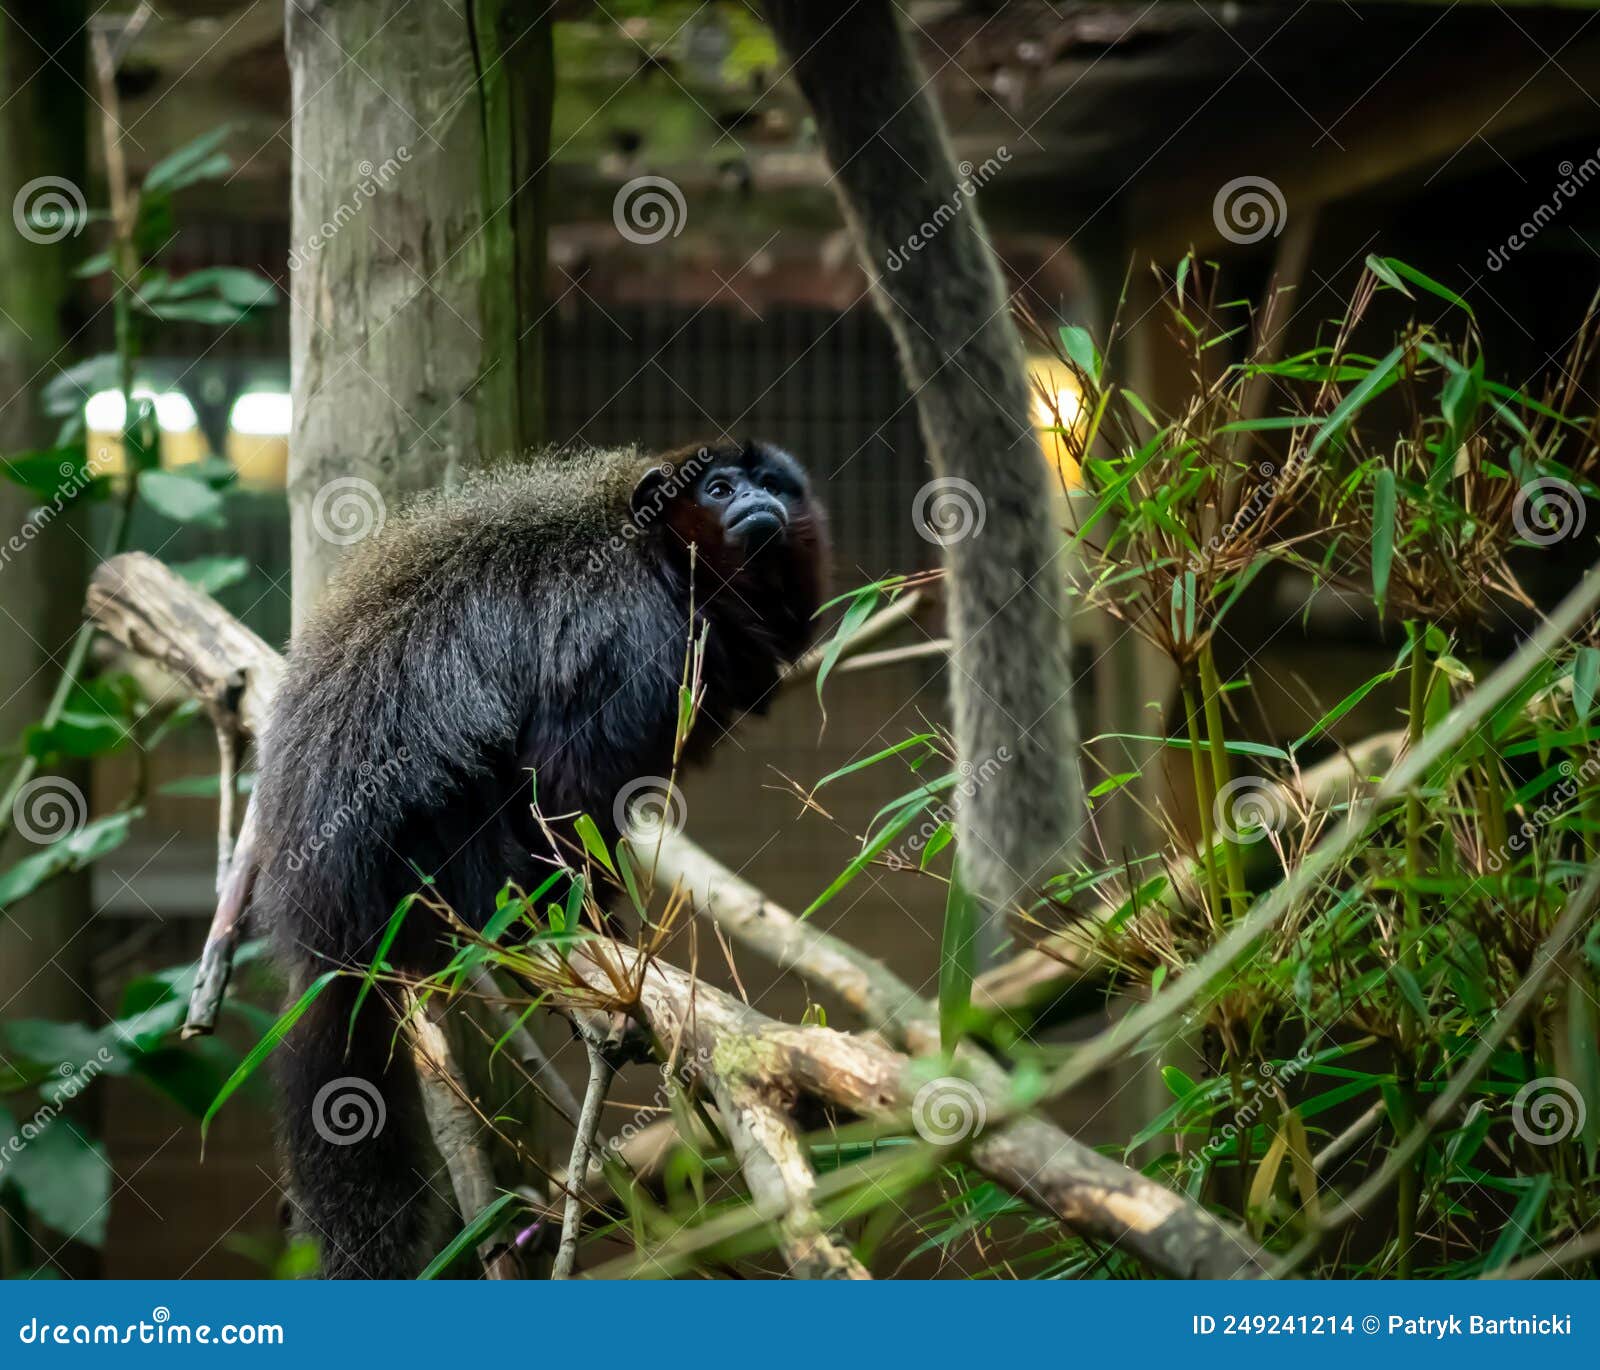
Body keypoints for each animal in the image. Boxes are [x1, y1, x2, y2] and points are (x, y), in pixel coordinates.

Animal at [251, 440, 828, 1278]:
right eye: (719, 488)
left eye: (770, 483)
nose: (758, 501)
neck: (666, 563)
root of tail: (329, 924)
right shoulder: (629, 635)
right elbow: (563, 779)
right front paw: (588, 910)